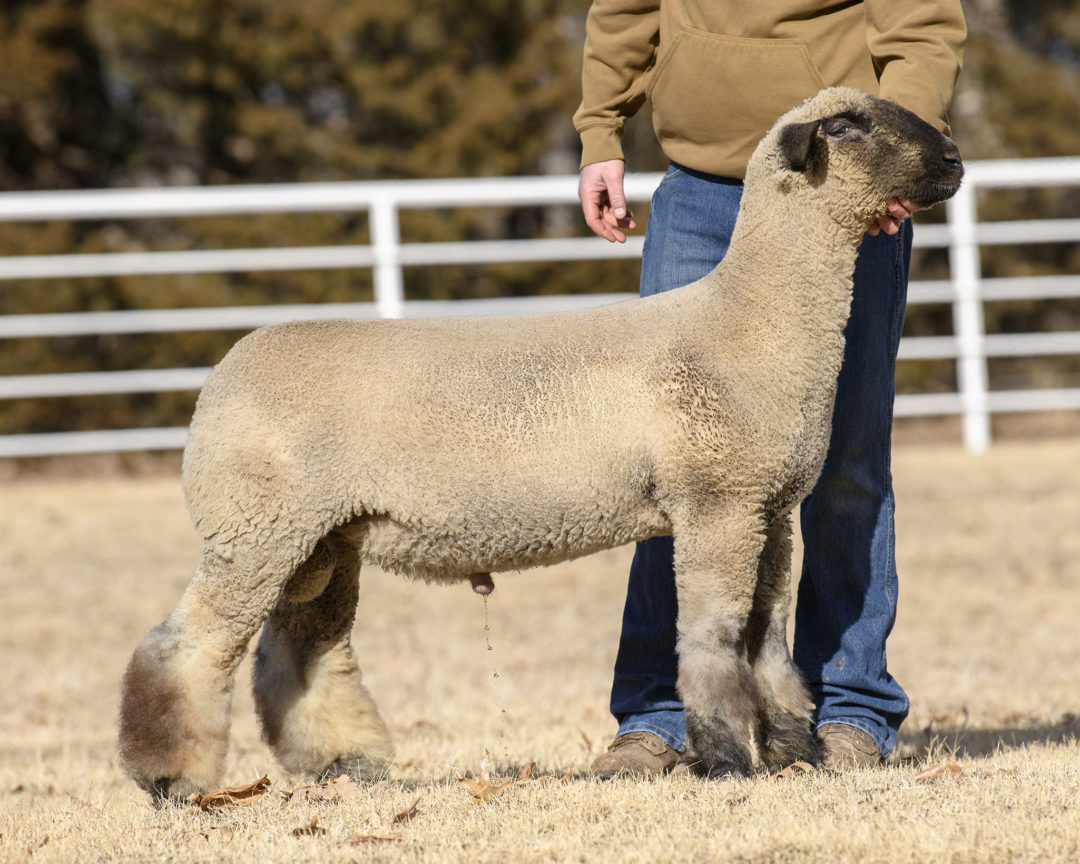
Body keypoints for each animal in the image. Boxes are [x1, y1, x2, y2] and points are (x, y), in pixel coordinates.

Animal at [118, 87, 963, 799]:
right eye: (848, 126)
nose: (956, 160)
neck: (748, 321)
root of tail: (225, 371)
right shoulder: (716, 502)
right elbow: (714, 642)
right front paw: (728, 759)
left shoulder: (771, 506)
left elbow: (769, 642)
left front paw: (793, 752)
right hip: (257, 527)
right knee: (188, 647)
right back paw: (171, 778)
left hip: (325, 538)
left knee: (301, 651)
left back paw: (346, 763)